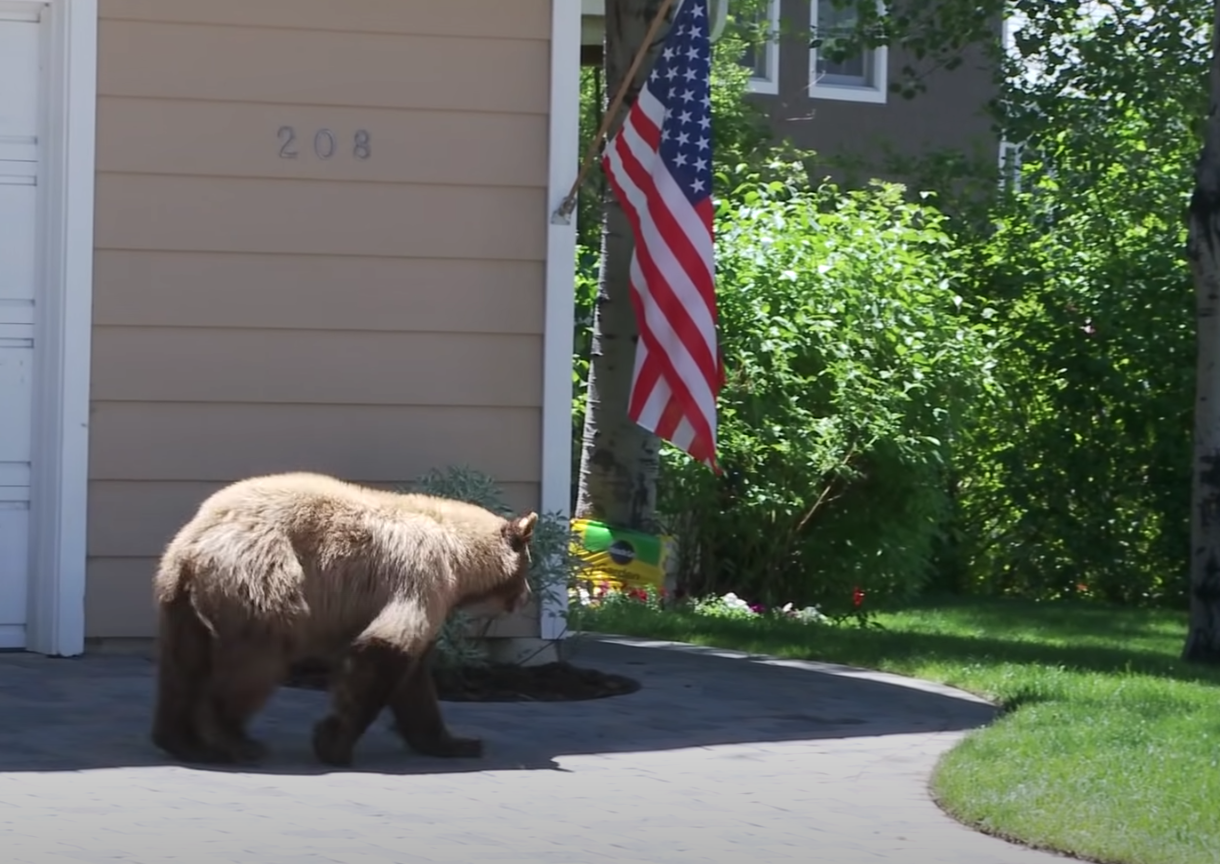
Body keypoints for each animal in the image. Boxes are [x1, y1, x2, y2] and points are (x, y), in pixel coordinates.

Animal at [149, 471, 537, 768]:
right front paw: (333, 743)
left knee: (182, 666)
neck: (459, 555)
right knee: (255, 663)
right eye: (526, 566)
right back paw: (234, 739)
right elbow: (383, 651)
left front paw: (455, 742)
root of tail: (195, 546)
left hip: (180, 599)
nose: (528, 595)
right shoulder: (420, 578)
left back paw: (180, 740)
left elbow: (414, 680)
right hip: (263, 582)